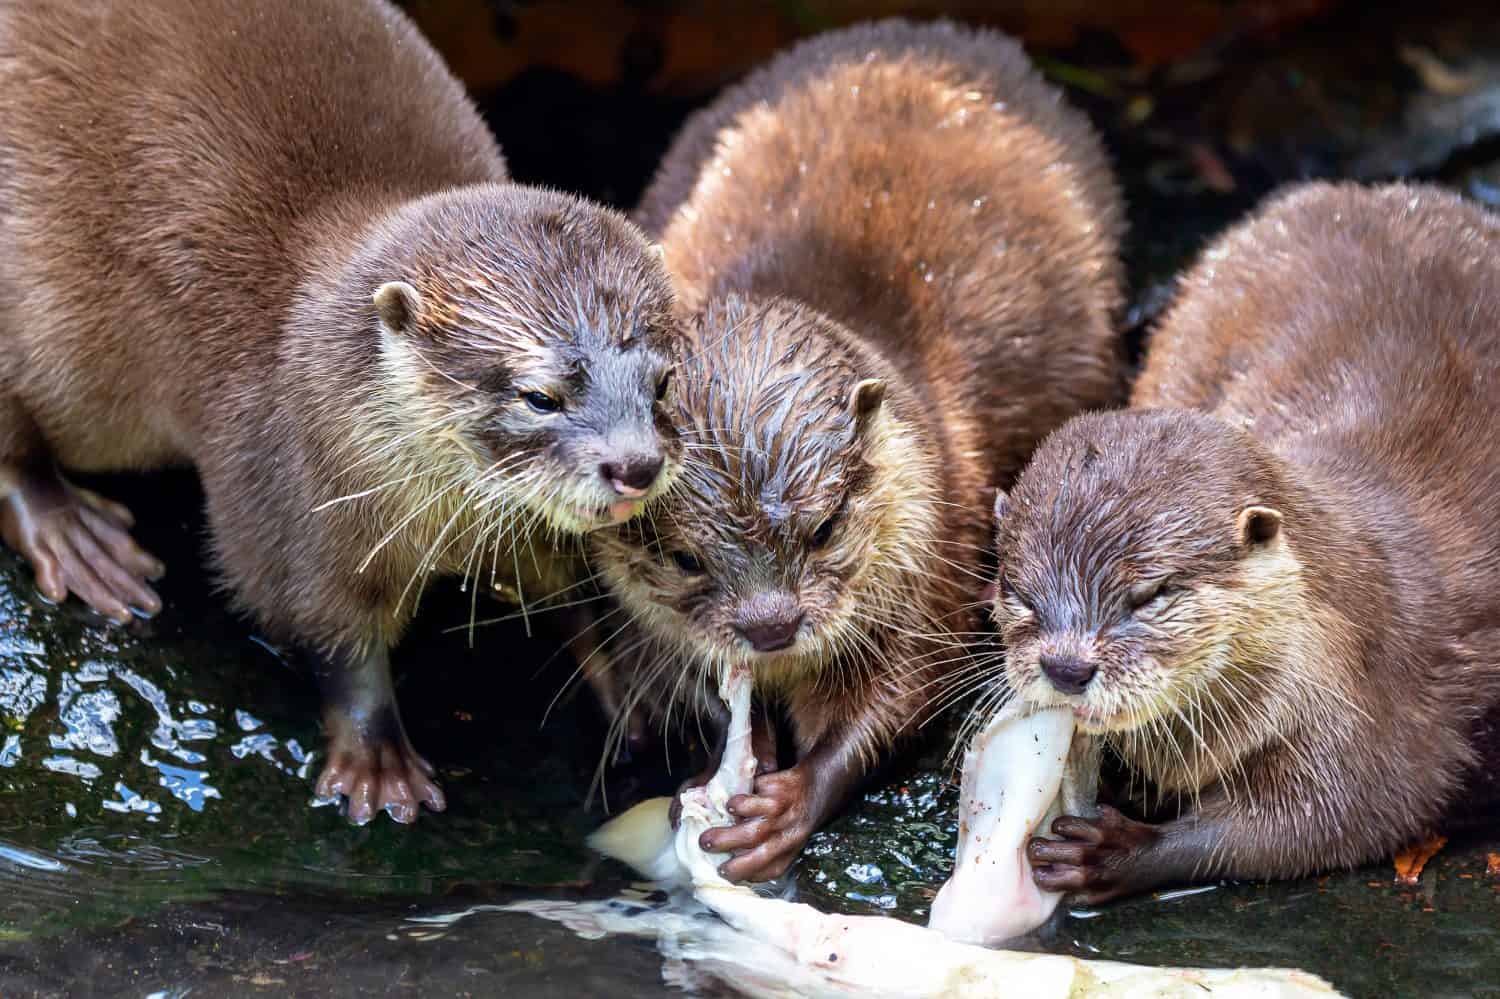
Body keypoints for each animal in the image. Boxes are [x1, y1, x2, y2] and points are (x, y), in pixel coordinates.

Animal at [0, 0, 682, 824]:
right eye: (541, 395)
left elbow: (571, 587)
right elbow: (321, 623)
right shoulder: (288, 489)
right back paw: (72, 533)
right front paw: (378, 760)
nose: (636, 464)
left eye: (663, 384)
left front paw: (628, 675)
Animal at [594, 19, 1124, 882]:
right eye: (683, 558)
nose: (771, 625)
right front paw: (741, 744)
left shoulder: (941, 539)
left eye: (825, 527)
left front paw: (786, 803)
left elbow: (902, 693)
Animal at [991, 181, 1500, 903]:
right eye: (1018, 591)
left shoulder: (1371, 713)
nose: (1066, 668)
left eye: (1151, 593)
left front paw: (1117, 850)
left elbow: (1328, 819)